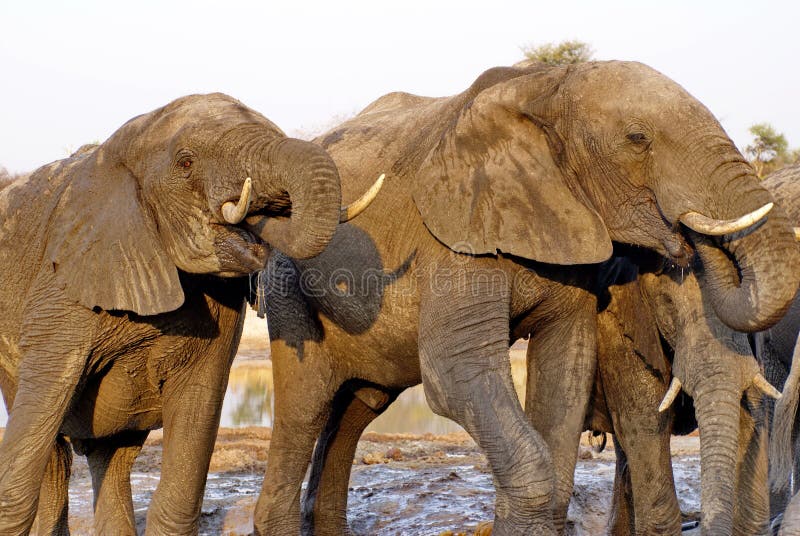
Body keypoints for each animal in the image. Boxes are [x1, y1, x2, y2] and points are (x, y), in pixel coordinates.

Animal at [0, 93, 381, 536]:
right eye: (185, 162)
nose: (260, 216)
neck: (114, 153)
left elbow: (198, 409)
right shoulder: (66, 285)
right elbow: (31, 447)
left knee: (112, 456)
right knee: (57, 457)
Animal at [255, 61, 800, 535]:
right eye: (637, 138)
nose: (688, 237)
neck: (545, 88)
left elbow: (566, 367)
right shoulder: (453, 233)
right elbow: (457, 373)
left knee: (357, 407)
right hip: (288, 282)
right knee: (304, 407)